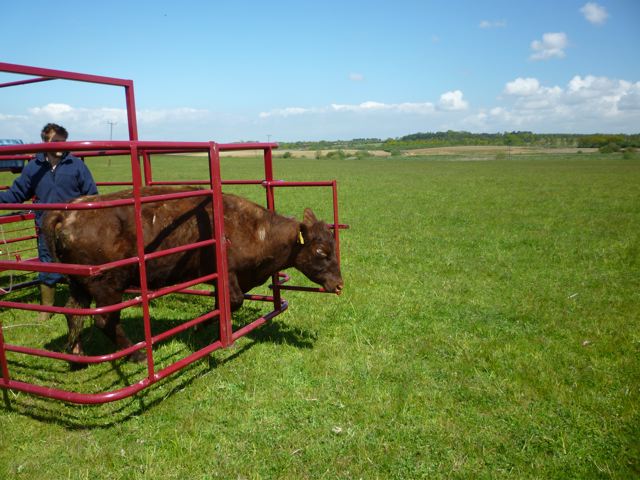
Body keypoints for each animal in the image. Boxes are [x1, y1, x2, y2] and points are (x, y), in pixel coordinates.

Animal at [41, 186, 344, 363]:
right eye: (321, 251)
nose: (339, 284)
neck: (252, 229)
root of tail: (67, 214)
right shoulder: (228, 276)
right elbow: (234, 301)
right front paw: (199, 327)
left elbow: (224, 303)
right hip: (108, 288)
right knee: (104, 321)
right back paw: (138, 355)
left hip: (79, 285)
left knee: (74, 315)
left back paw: (76, 355)